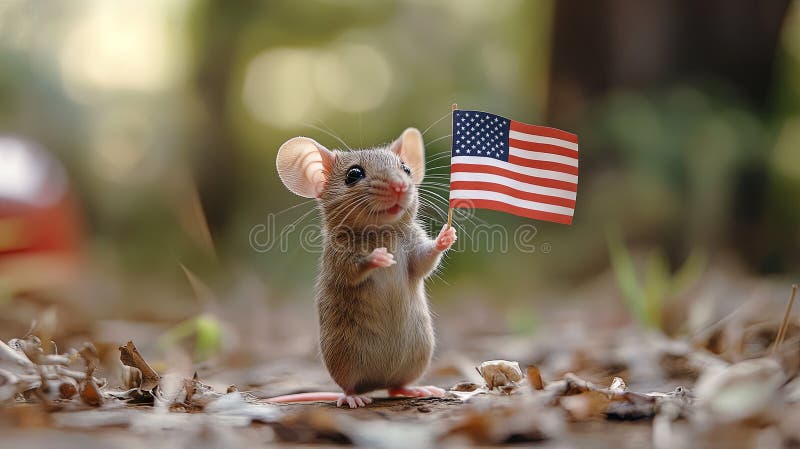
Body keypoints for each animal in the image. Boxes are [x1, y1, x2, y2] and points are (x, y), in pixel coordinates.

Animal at [271, 128, 456, 408]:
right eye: (354, 174)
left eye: (405, 168)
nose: (400, 186)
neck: (382, 231)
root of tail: (374, 384)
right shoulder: (339, 258)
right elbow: (353, 269)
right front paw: (378, 257)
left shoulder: (413, 251)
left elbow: (425, 261)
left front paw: (446, 236)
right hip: (345, 358)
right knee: (350, 386)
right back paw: (353, 398)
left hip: (418, 355)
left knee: (396, 387)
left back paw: (417, 390)